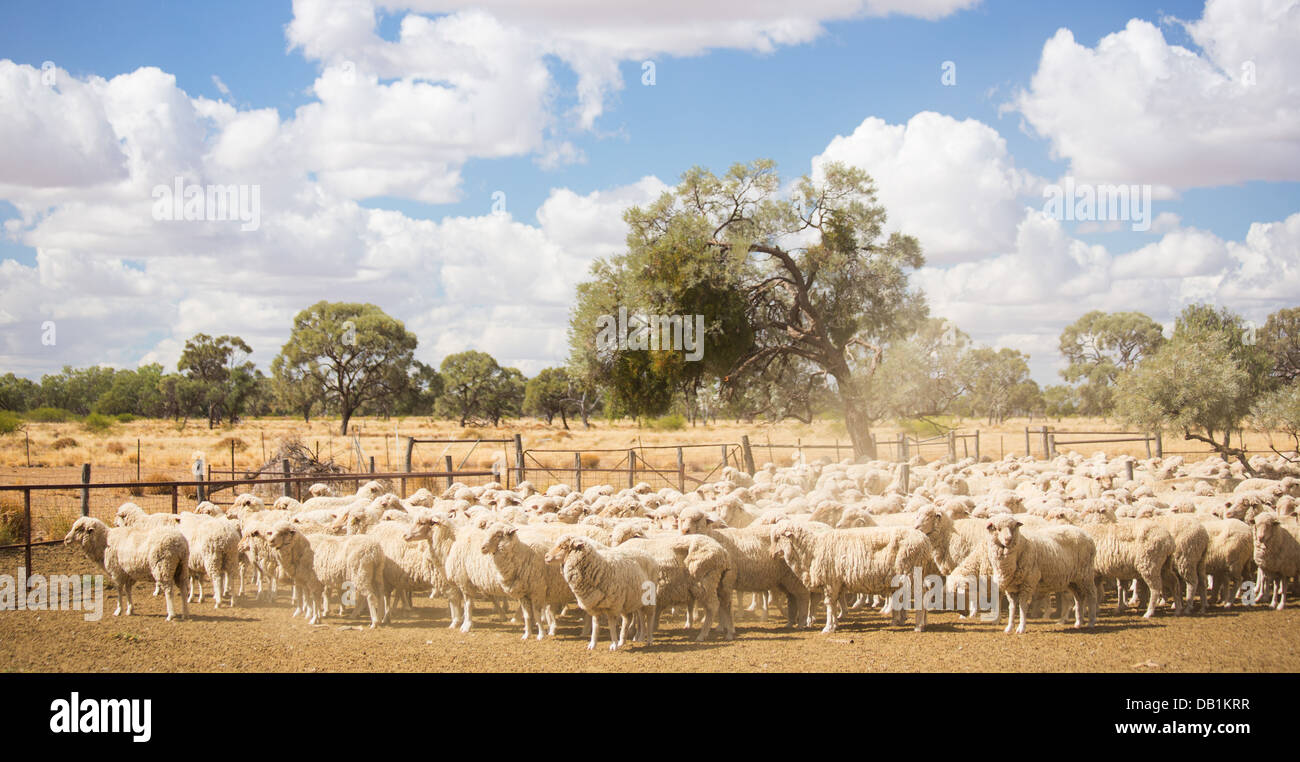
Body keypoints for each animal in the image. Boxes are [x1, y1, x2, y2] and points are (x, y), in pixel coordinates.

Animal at [768, 521, 934, 633]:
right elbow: (834, 605)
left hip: (911, 573)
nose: (771, 555)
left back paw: (918, 626)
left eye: (777, 538)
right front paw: (834, 624)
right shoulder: (836, 584)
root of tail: (925, 542)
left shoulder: (831, 582)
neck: (811, 549)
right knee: (925, 592)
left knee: (921, 596)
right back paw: (922, 623)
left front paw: (828, 628)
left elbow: (829, 605)